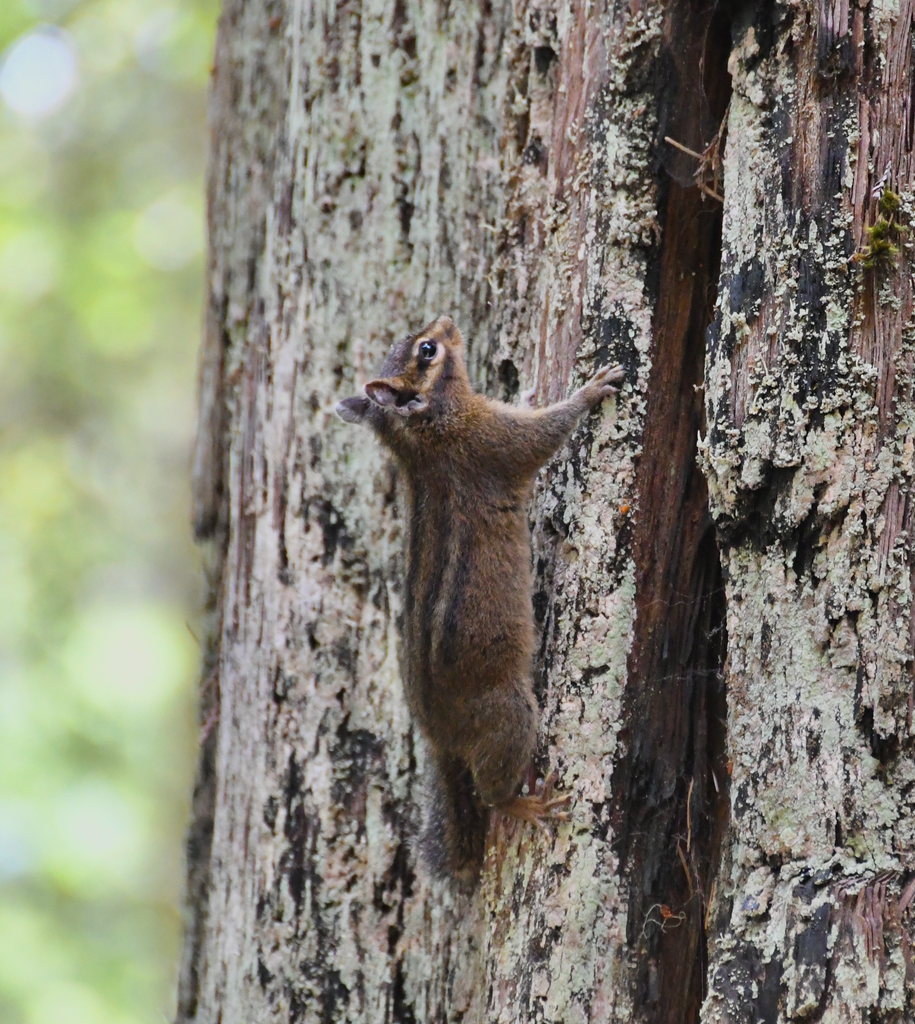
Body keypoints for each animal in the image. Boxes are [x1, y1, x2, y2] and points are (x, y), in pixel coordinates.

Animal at [336, 316, 624, 882]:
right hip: (510, 711)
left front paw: (529, 390)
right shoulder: (494, 441)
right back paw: (527, 804)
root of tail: (439, 737)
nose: (446, 320)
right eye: (429, 350)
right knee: (492, 791)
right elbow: (545, 433)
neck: (424, 435)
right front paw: (591, 389)